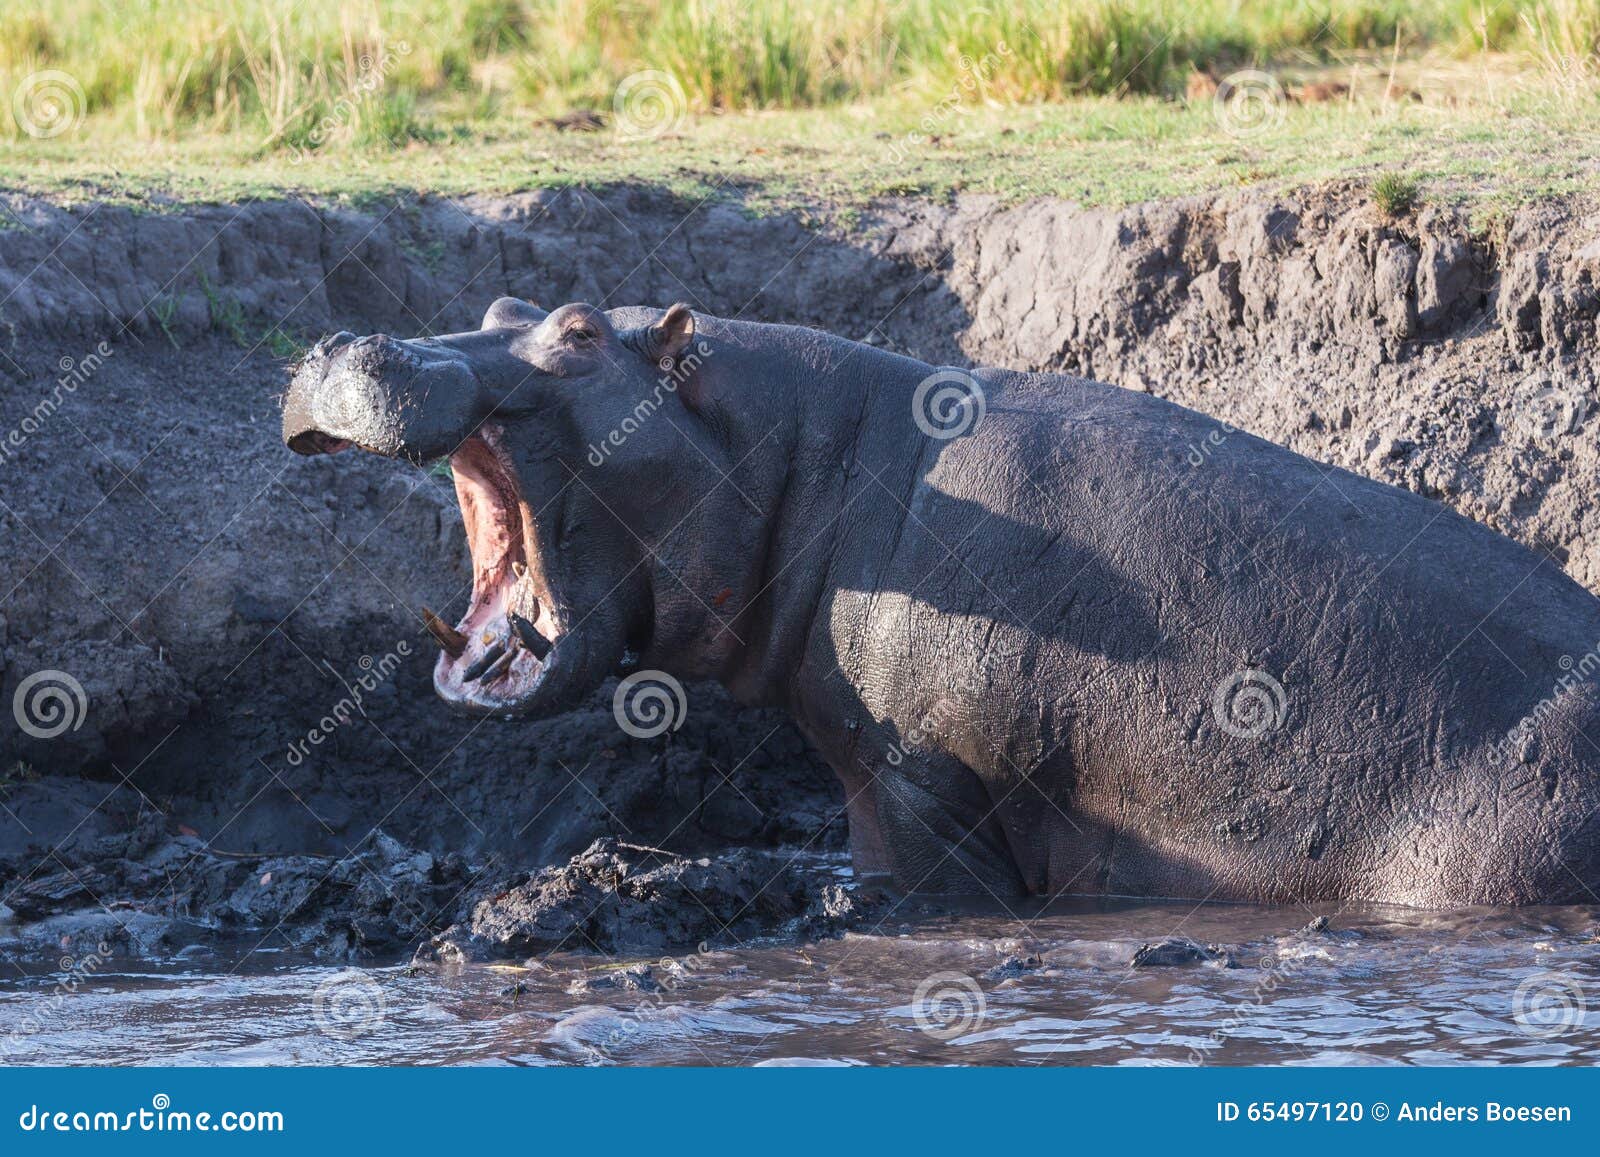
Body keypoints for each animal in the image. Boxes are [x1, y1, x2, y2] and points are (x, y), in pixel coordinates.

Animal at [282, 298, 1600, 907]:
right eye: (500, 310)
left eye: (574, 332)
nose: (346, 340)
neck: (802, 450)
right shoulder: (869, 772)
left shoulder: (928, 781)